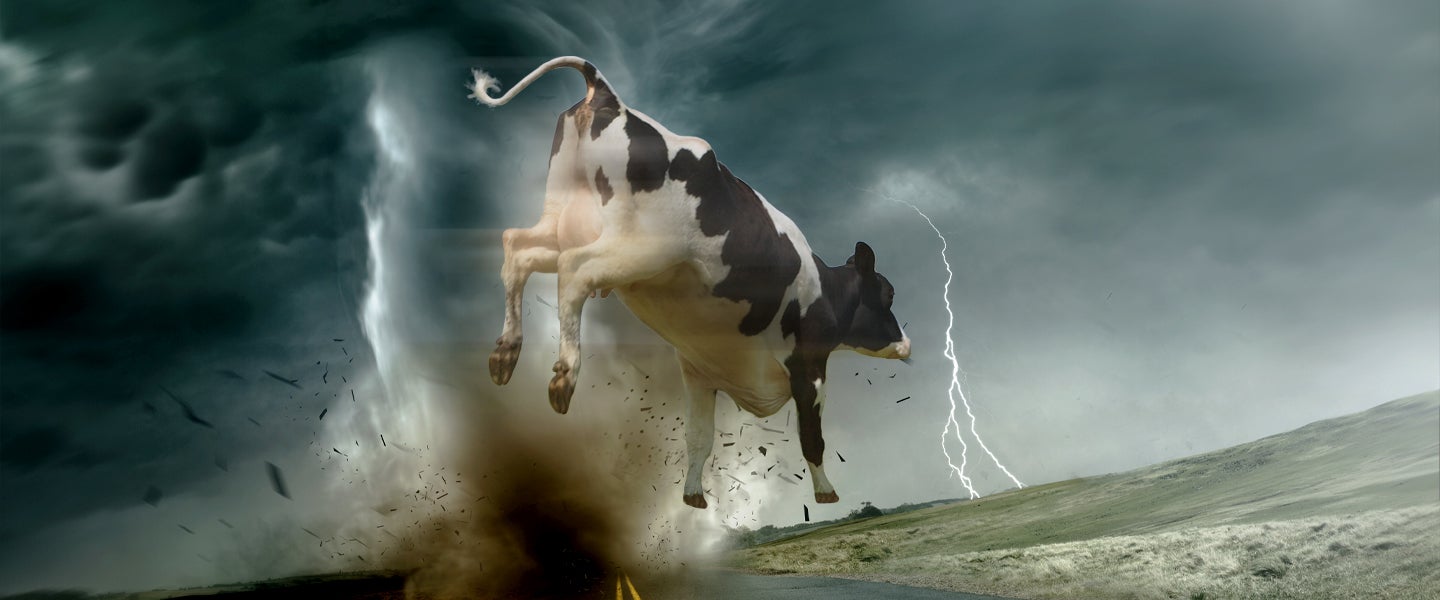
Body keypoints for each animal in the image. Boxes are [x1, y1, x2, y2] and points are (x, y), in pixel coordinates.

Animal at [469, 56, 910, 508]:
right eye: (889, 293)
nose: (906, 343)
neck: (824, 289)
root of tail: (610, 97)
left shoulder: (700, 371)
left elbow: (699, 436)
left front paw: (694, 495)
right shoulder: (810, 369)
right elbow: (812, 438)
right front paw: (826, 493)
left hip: (563, 221)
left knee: (517, 248)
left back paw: (505, 354)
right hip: (637, 247)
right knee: (575, 270)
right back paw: (564, 375)